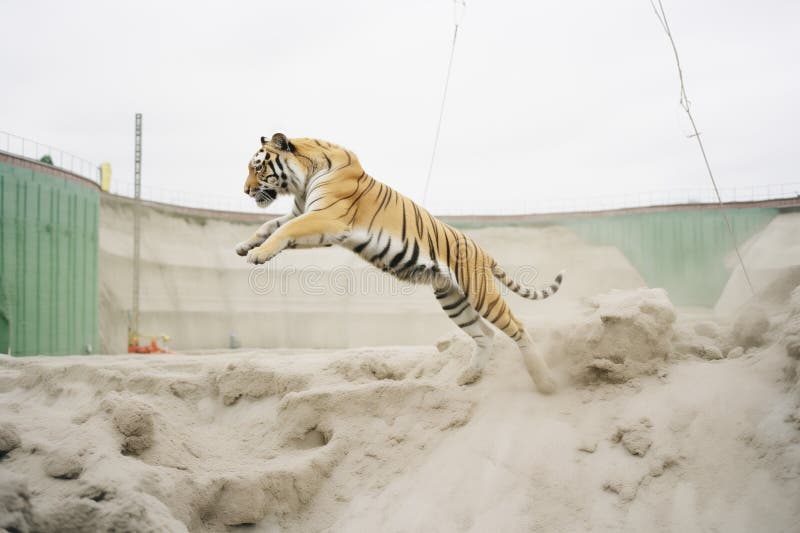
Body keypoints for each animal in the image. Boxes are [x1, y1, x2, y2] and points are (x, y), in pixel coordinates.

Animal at [235, 133, 564, 393]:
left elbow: (283, 230)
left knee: (518, 328)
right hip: (452, 298)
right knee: (486, 334)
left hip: (480, 291)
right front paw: (244, 246)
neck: (303, 180)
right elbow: (270, 225)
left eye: (258, 167)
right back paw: (468, 377)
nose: (246, 191)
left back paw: (545, 382)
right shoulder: (305, 215)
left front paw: (258, 254)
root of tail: (483, 251)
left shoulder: (326, 217)